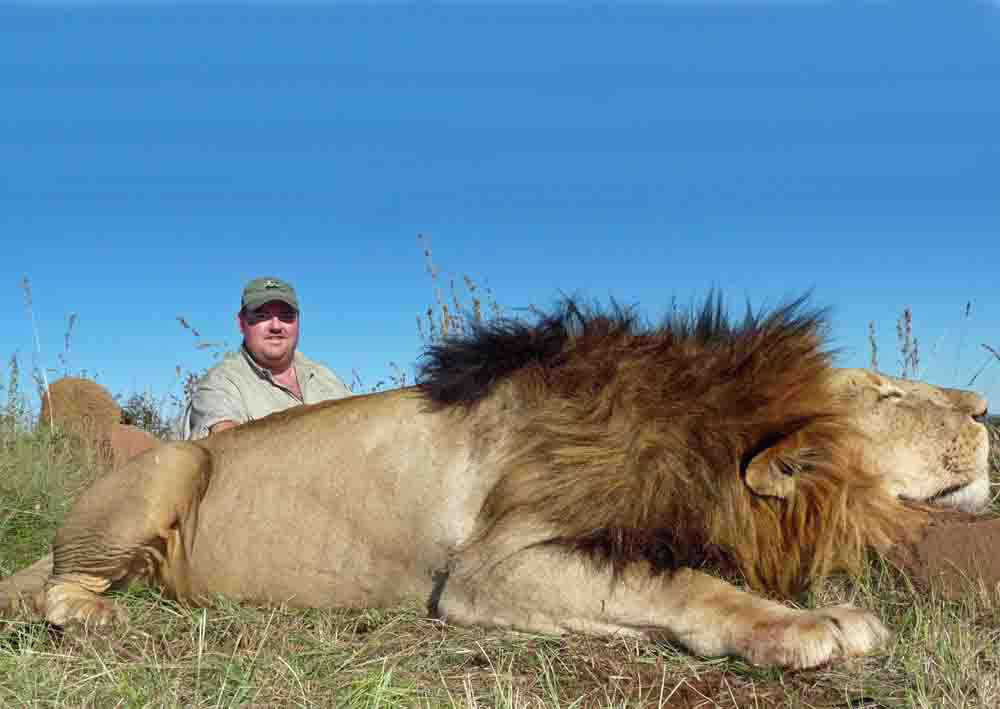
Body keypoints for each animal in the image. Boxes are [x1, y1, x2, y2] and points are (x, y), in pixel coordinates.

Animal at [0, 297, 991, 670]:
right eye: (886, 392)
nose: (987, 408)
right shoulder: (487, 570)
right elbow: (682, 583)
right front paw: (807, 627)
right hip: (172, 464)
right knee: (58, 586)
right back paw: (102, 612)